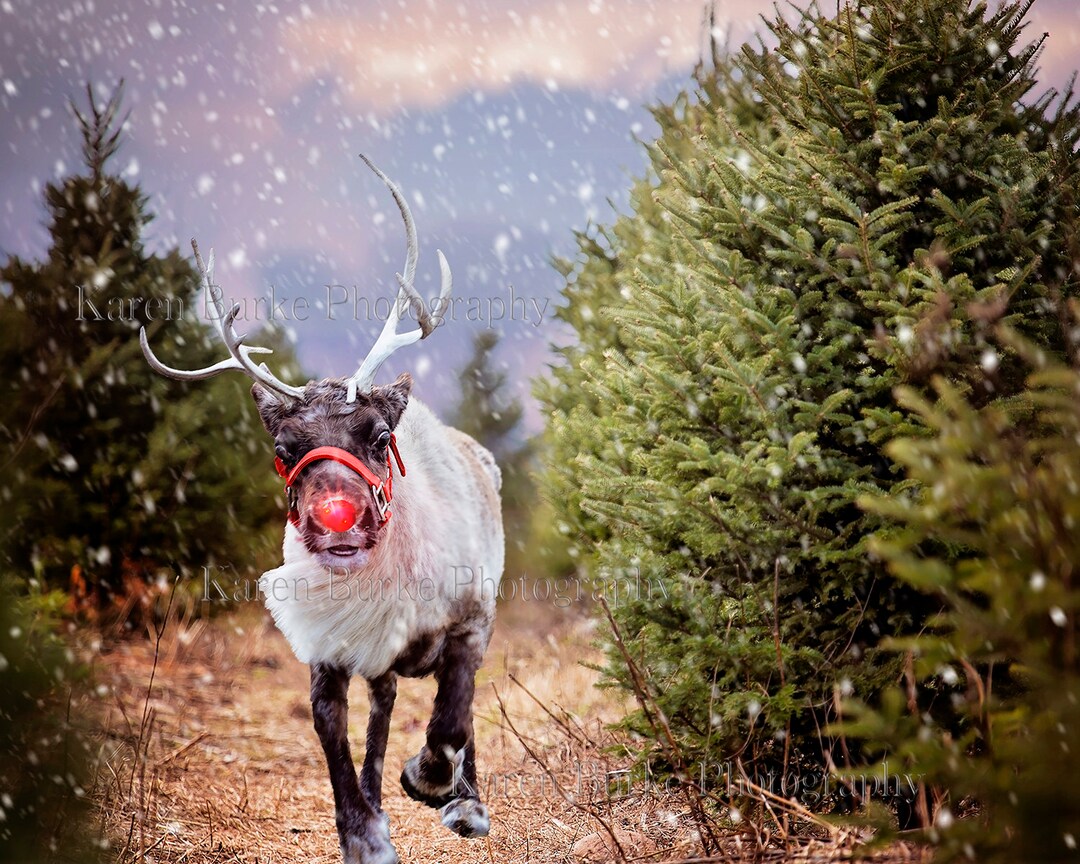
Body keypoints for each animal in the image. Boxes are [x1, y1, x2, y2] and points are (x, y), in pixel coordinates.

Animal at [139, 156, 504, 864]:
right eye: (284, 449)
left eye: (379, 436)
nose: (336, 518)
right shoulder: (327, 646)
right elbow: (331, 729)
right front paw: (363, 831)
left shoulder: (470, 620)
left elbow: (452, 720)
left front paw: (431, 784)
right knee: (384, 703)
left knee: (451, 714)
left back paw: (463, 801)